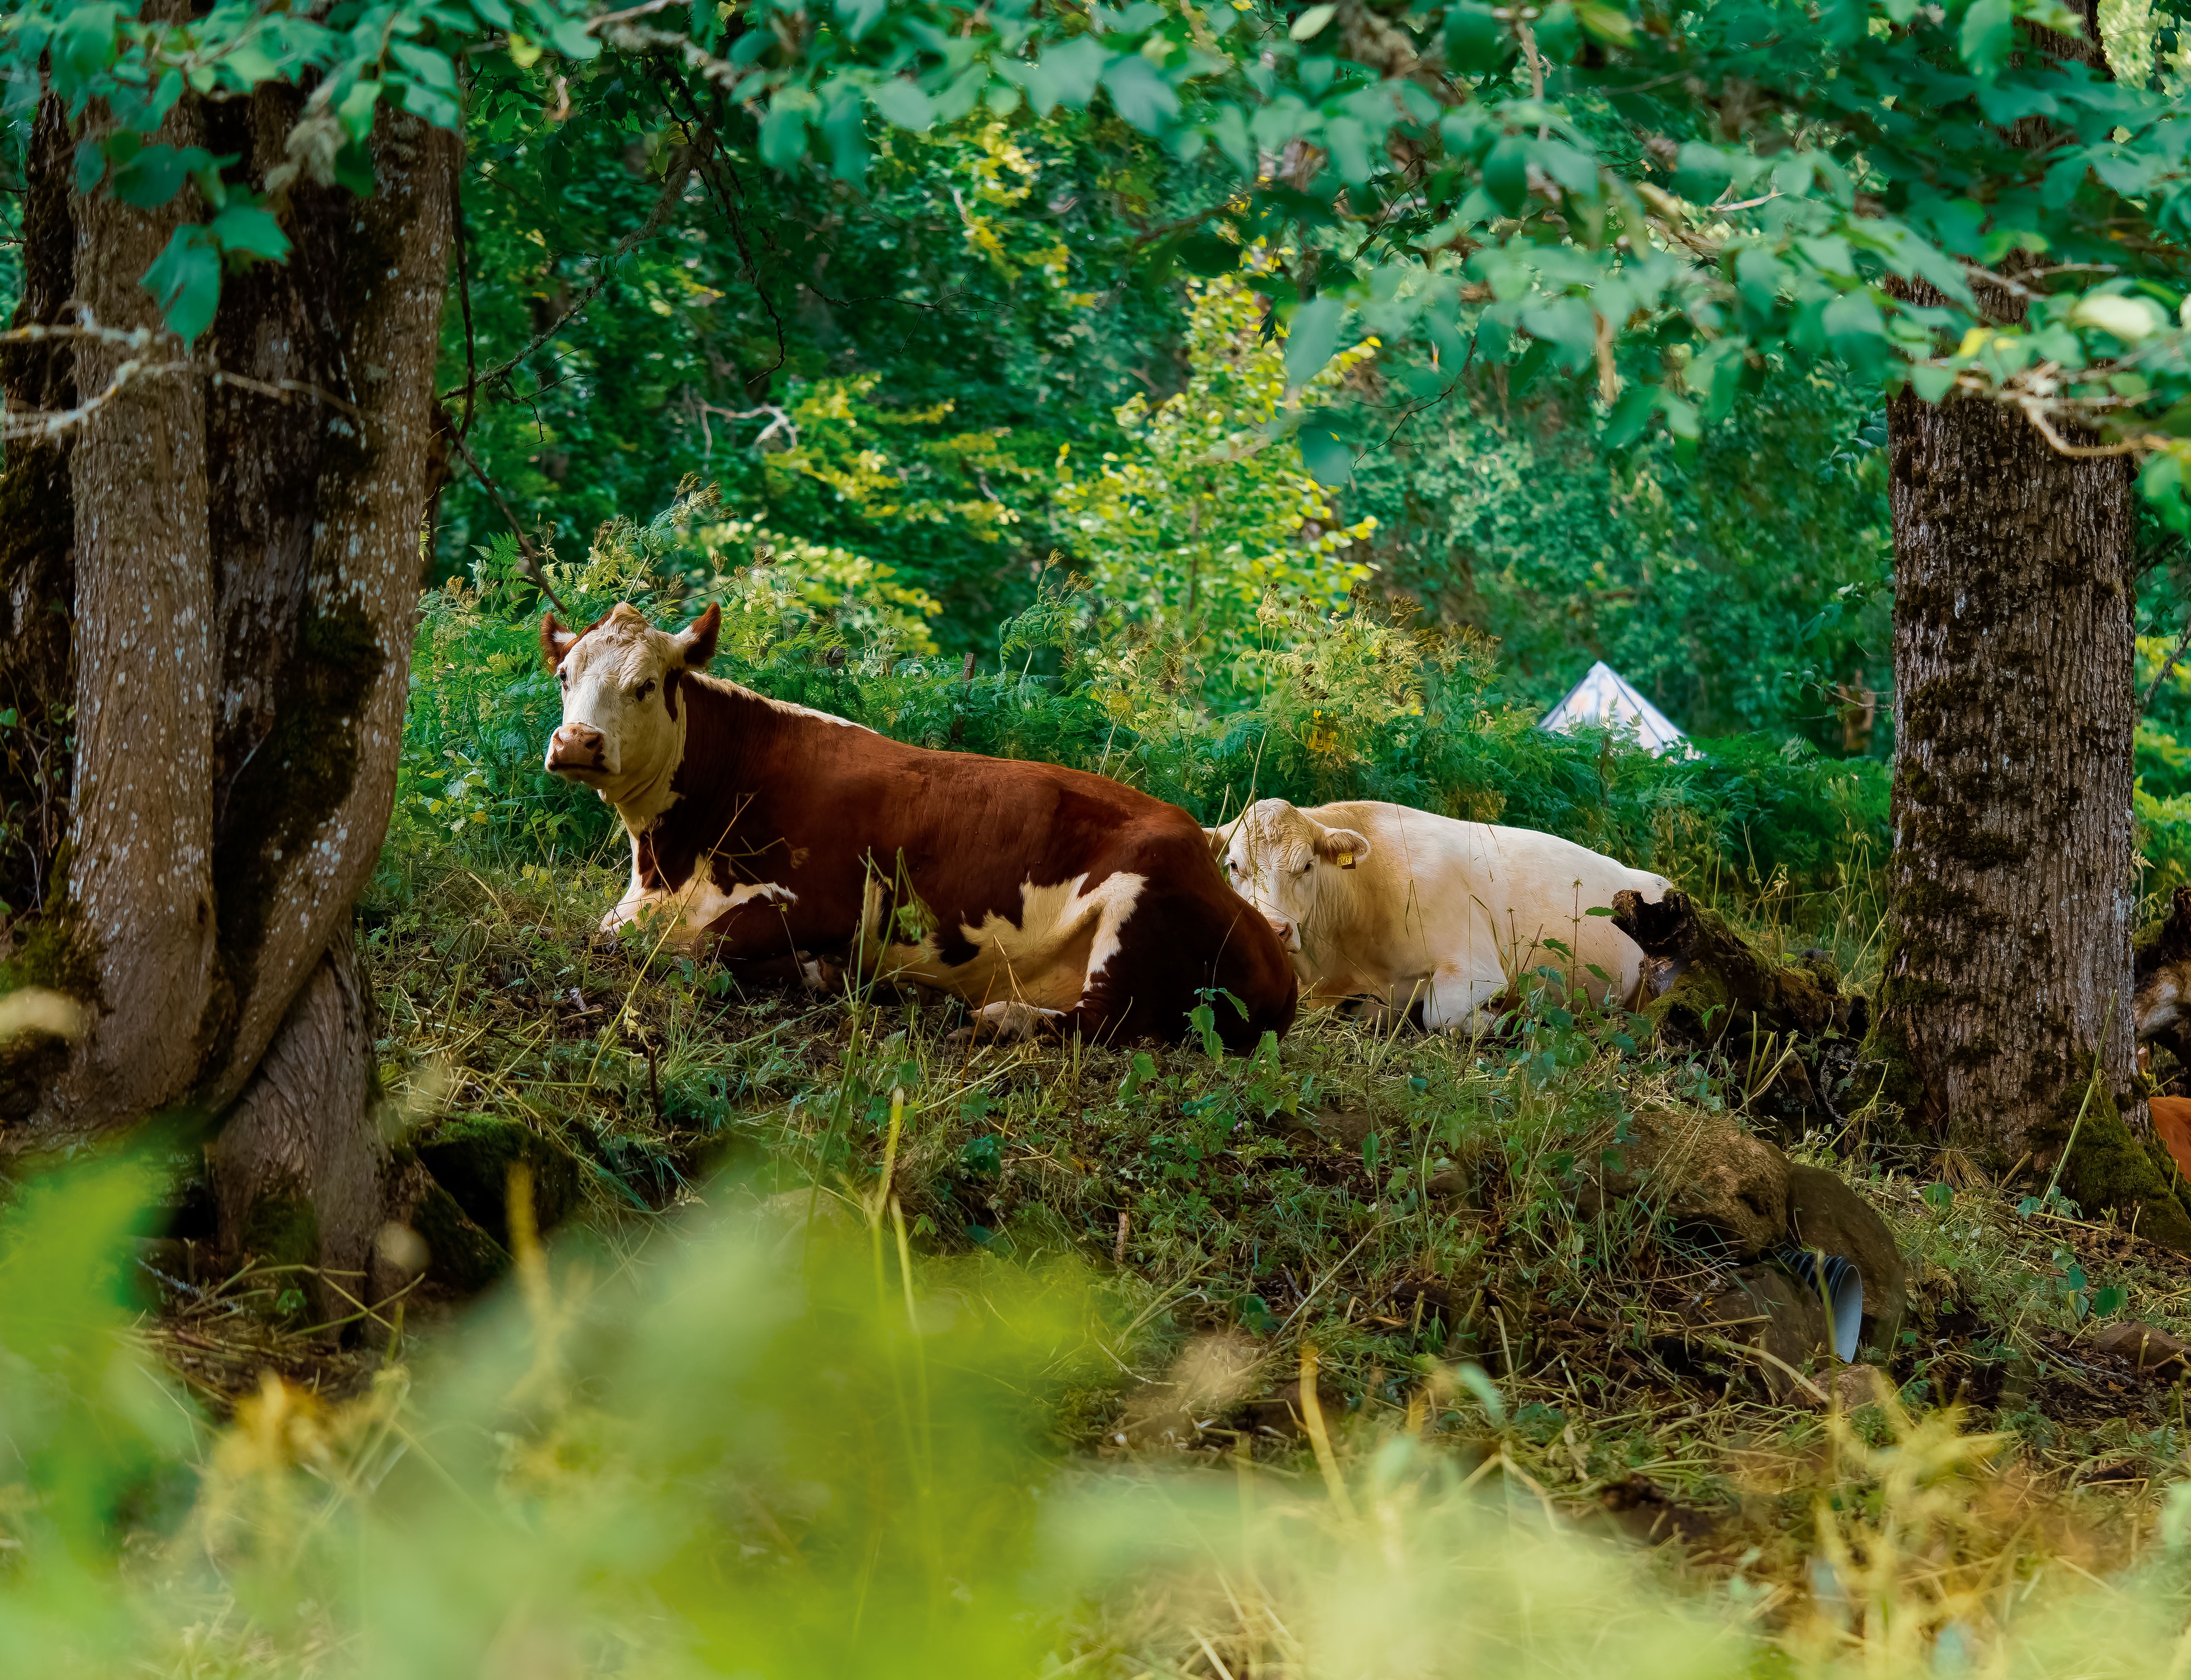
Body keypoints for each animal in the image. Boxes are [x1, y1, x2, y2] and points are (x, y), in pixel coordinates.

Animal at [539, 601, 1296, 1048]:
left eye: (644, 685)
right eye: (565, 674)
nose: (576, 741)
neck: (668, 862)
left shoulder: (828, 906)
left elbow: (705, 947)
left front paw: (813, 972)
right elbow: (615, 934)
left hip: (1140, 908)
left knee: (1107, 1021)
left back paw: (996, 1015)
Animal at [1206, 797, 1674, 1032]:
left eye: (1306, 866)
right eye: (1233, 865)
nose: (1275, 929)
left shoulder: (1476, 968)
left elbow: (1440, 1013)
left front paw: (1504, 1019)